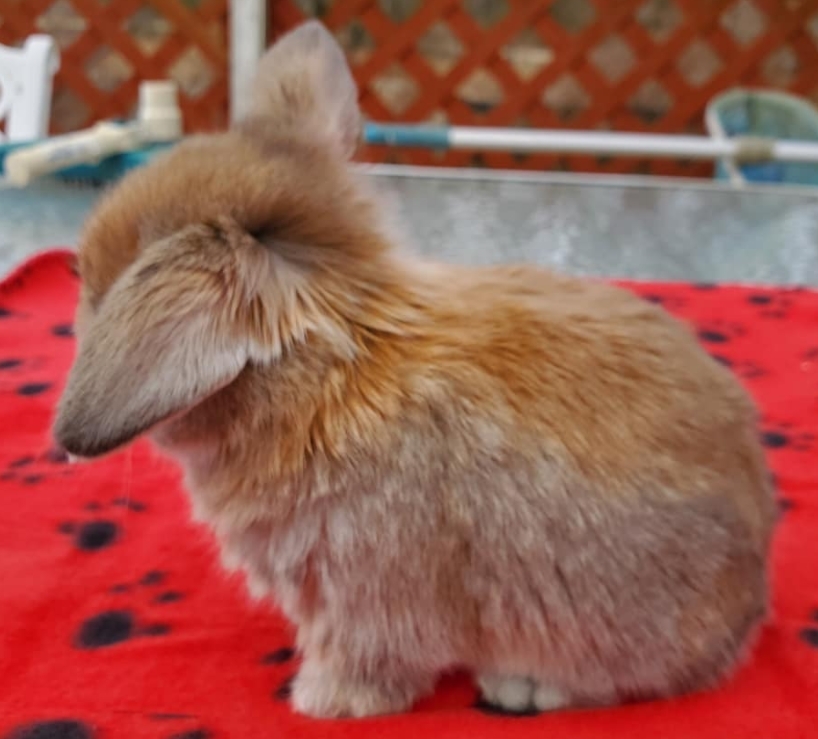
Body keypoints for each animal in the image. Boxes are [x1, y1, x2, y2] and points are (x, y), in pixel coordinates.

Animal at [53, 20, 776, 719]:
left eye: (98, 285)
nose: (80, 322)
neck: (330, 376)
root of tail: (748, 606)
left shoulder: (364, 599)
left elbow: (373, 664)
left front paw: (323, 702)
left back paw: (520, 689)